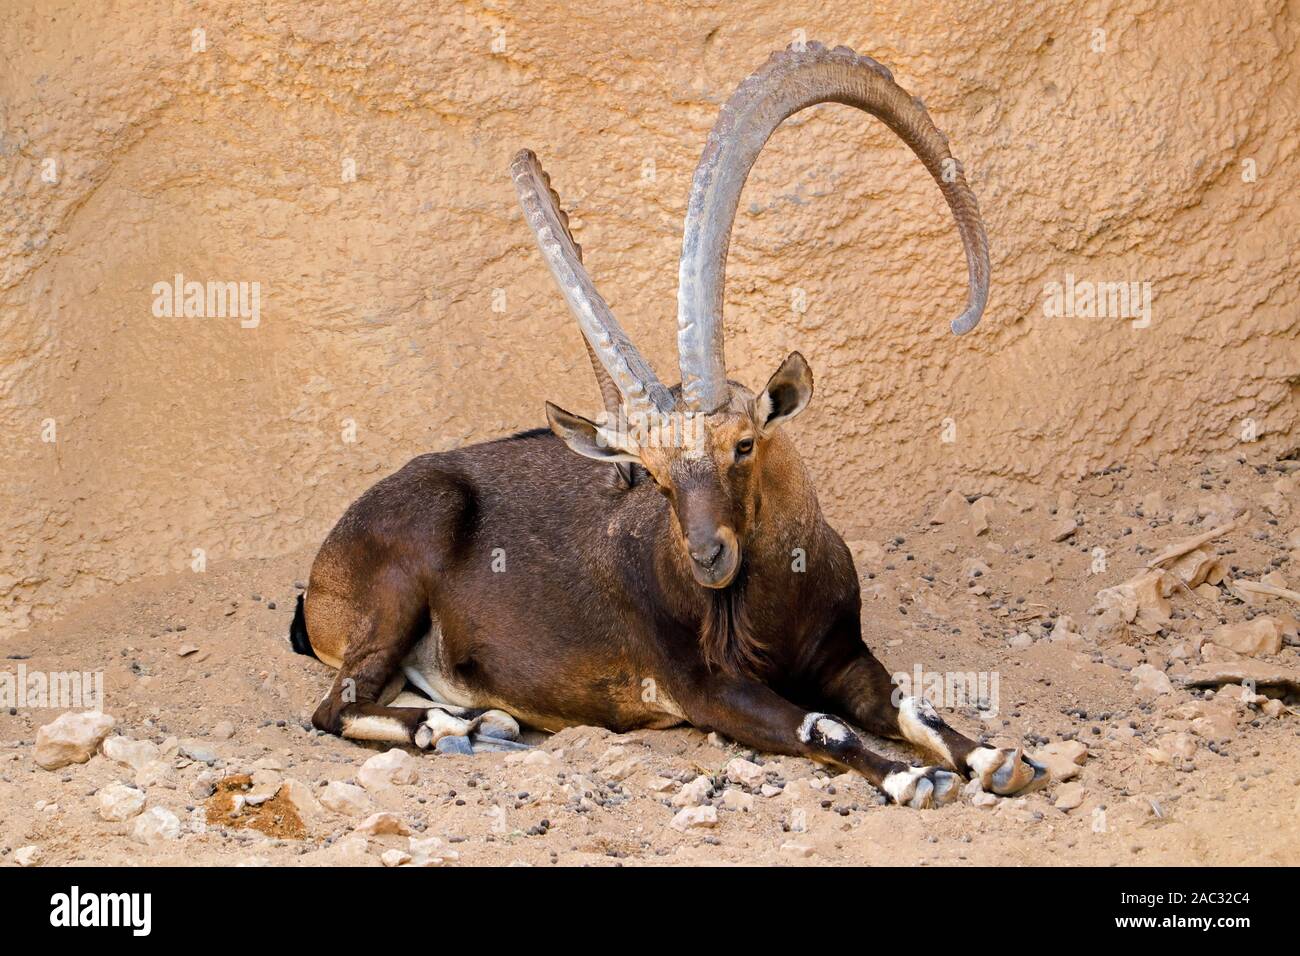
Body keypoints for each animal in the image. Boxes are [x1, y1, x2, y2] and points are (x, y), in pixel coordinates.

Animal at [290, 42, 1048, 807]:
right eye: (654, 479)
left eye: (743, 445)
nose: (708, 556)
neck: (778, 602)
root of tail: (319, 580)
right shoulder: (701, 687)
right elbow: (821, 727)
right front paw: (913, 777)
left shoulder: (843, 654)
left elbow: (910, 705)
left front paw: (996, 760)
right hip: (397, 586)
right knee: (332, 708)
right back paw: (458, 728)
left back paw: (480, 720)